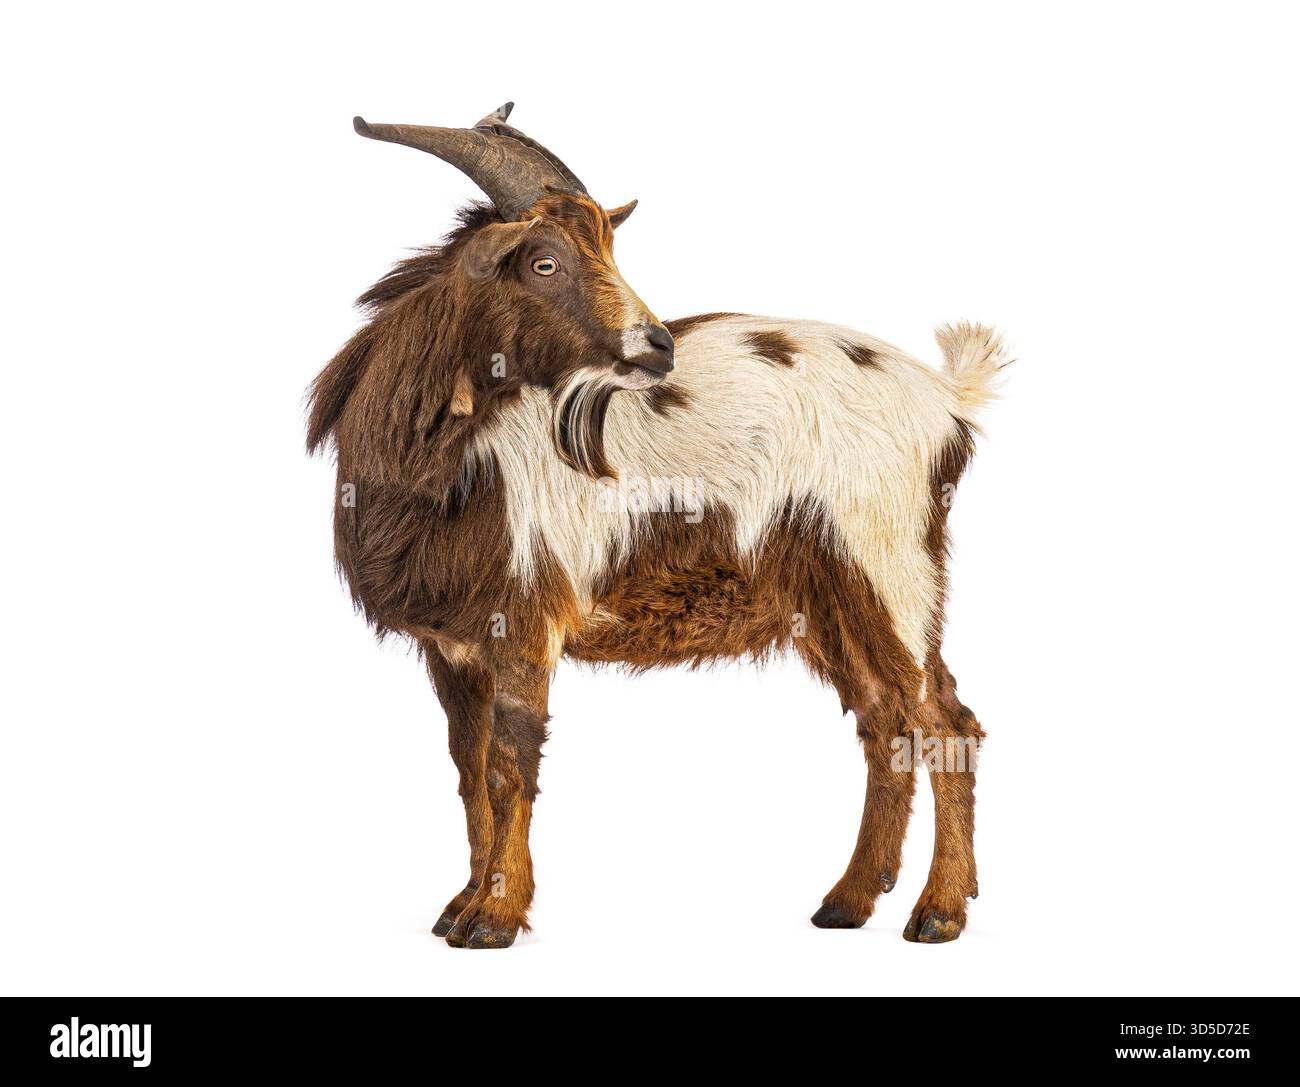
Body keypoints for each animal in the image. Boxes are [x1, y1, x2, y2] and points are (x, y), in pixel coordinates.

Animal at [307, 103, 1009, 948]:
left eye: (606, 248)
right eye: (543, 262)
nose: (657, 346)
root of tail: (946, 398)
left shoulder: (525, 617)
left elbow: (510, 764)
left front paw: (494, 919)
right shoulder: (451, 647)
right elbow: (467, 769)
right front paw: (460, 904)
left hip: (890, 566)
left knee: (946, 721)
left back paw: (938, 911)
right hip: (827, 598)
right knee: (885, 722)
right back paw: (847, 901)